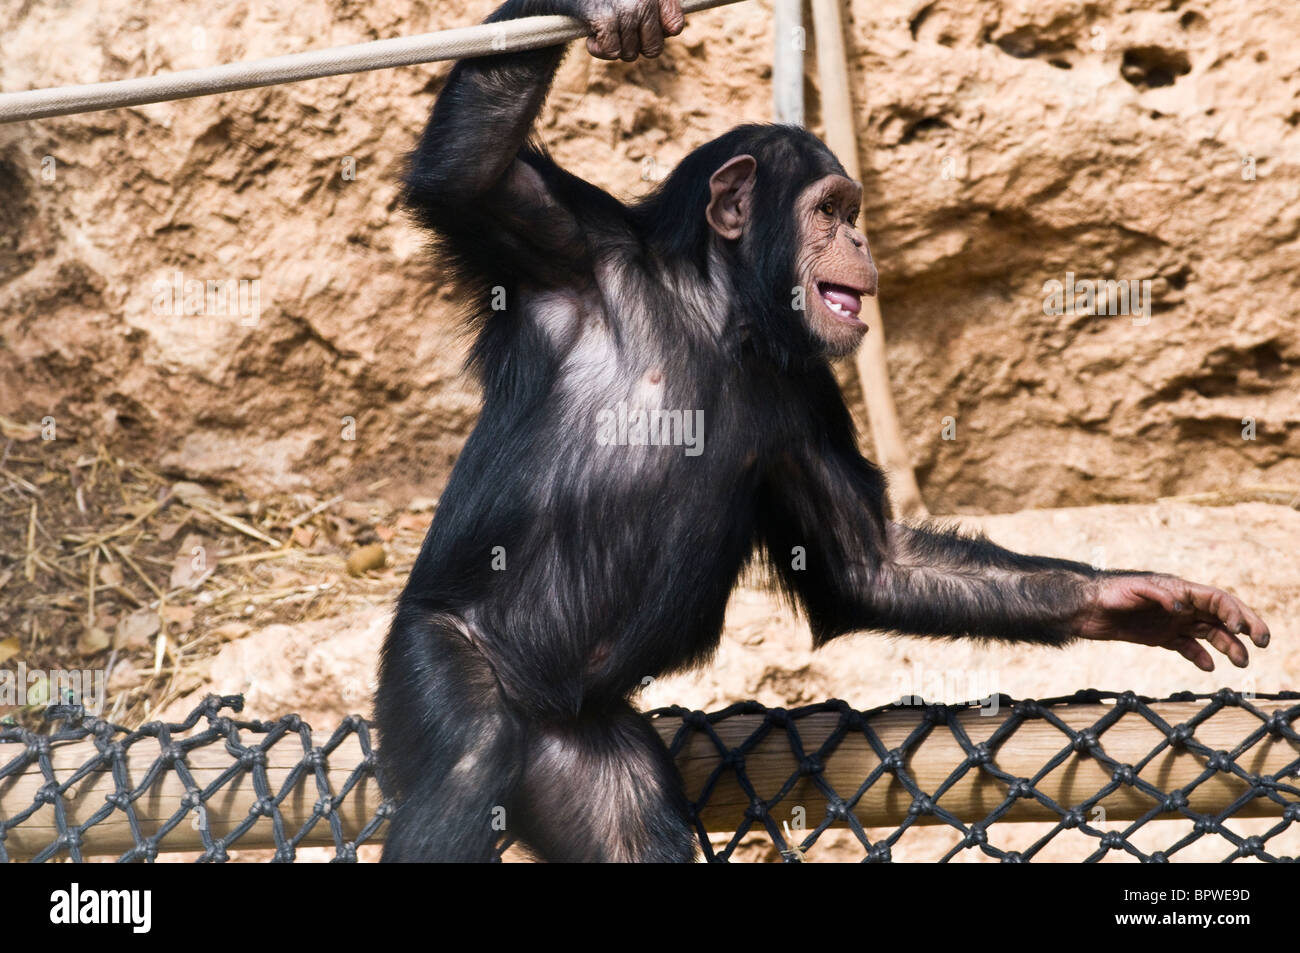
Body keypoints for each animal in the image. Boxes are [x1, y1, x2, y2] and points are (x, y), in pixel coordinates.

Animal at [374, 0, 1272, 862]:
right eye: (832, 211)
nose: (862, 237)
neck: (720, 313)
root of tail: (547, 710)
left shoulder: (810, 398)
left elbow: (865, 562)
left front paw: (1138, 603)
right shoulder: (562, 249)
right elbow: (472, 176)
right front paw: (605, 10)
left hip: (589, 753)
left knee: (627, 833)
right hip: (438, 650)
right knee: (469, 754)